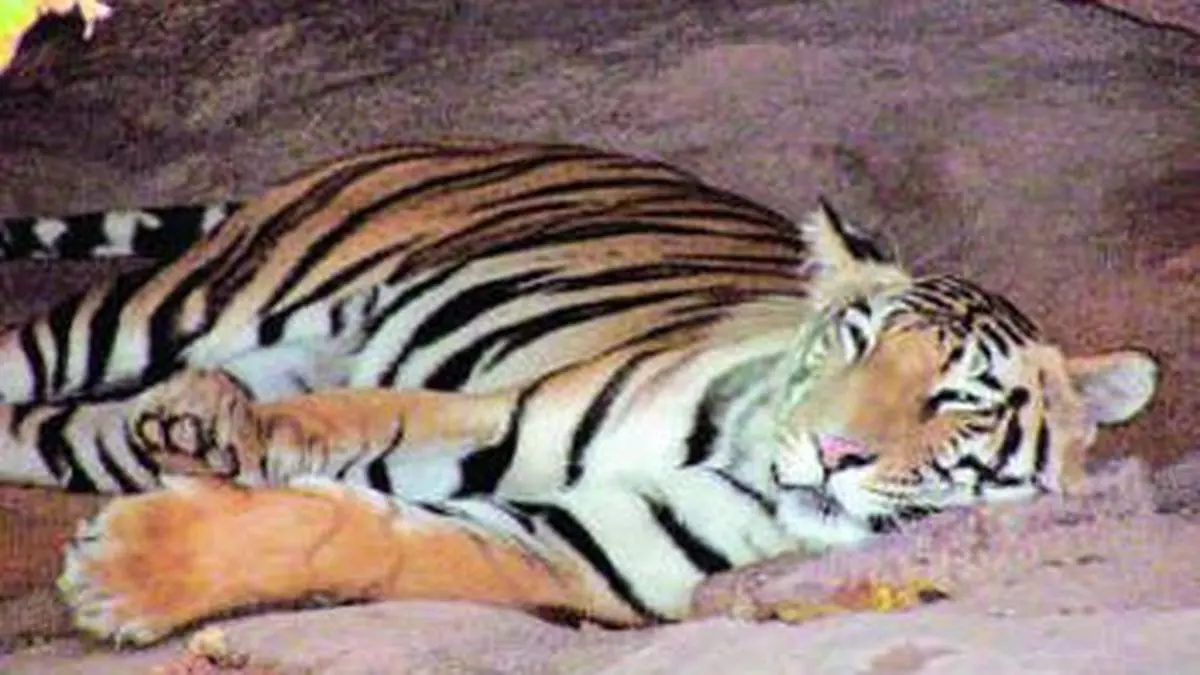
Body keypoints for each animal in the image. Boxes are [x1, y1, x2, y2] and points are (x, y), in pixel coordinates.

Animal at [0, 140, 1157, 646]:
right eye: (854, 340)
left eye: (958, 400)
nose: (832, 452)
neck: (740, 456)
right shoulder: (501, 409)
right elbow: (357, 414)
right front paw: (227, 432)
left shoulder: (575, 544)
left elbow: (362, 535)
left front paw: (125, 571)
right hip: (196, 300)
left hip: (97, 418)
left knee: (46, 431)